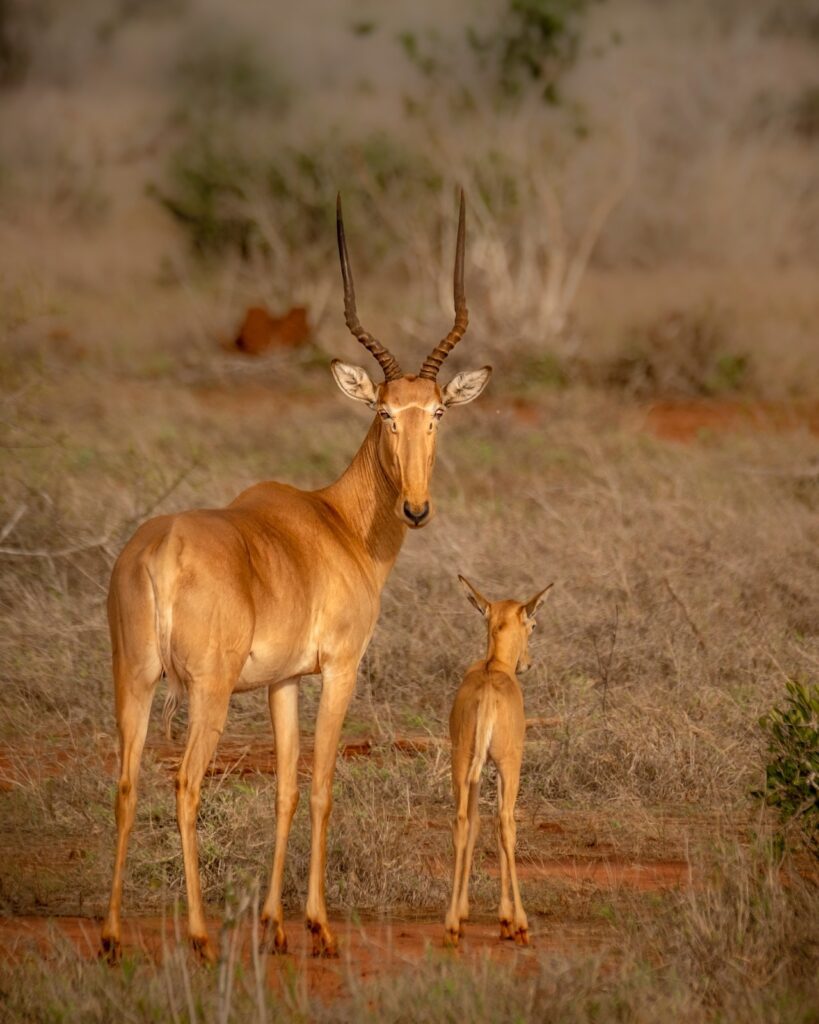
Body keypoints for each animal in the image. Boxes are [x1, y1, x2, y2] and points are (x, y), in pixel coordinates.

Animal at [99, 192, 492, 964]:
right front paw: (318, 926)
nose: (416, 507)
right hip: (206, 693)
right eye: (383, 412)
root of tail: (160, 550)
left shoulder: (280, 682)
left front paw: (276, 924)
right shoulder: (339, 668)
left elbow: (282, 787)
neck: (334, 522)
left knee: (127, 784)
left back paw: (111, 935)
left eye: (435, 411)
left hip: (136, 678)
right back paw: (199, 935)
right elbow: (321, 784)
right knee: (184, 783)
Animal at [445, 575, 553, 948]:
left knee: (462, 822)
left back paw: (452, 924)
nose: (527, 664)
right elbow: (501, 824)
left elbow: (477, 822)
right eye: (533, 624)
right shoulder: (507, 764)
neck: (495, 667)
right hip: (508, 765)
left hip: (463, 762)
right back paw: (520, 924)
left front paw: (464, 912)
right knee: (506, 823)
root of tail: (489, 694)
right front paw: (506, 919)